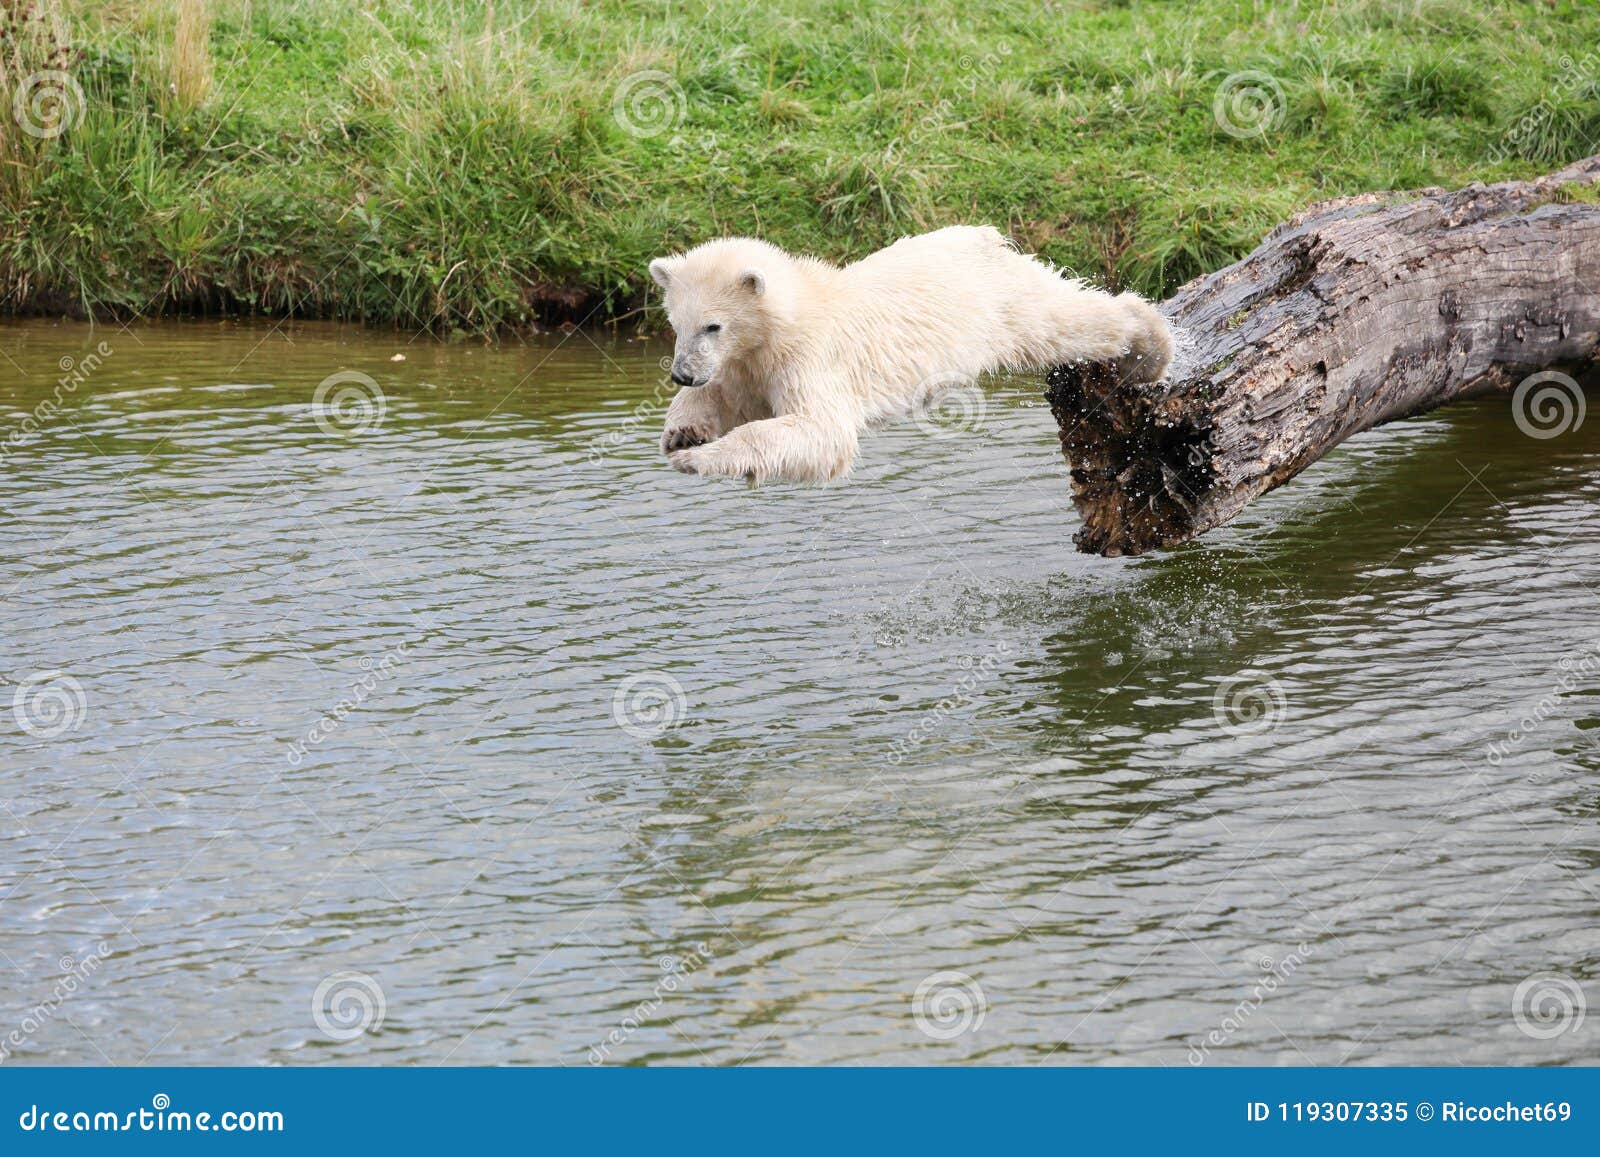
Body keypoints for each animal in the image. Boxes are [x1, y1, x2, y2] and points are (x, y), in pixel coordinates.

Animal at [649, 225, 1173, 485]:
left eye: (713, 325)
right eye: (676, 324)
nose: (681, 375)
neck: (797, 312)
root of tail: (984, 235)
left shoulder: (809, 358)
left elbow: (821, 433)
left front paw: (695, 459)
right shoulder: (746, 364)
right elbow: (732, 397)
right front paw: (683, 431)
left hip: (998, 304)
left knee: (1060, 320)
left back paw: (1151, 346)